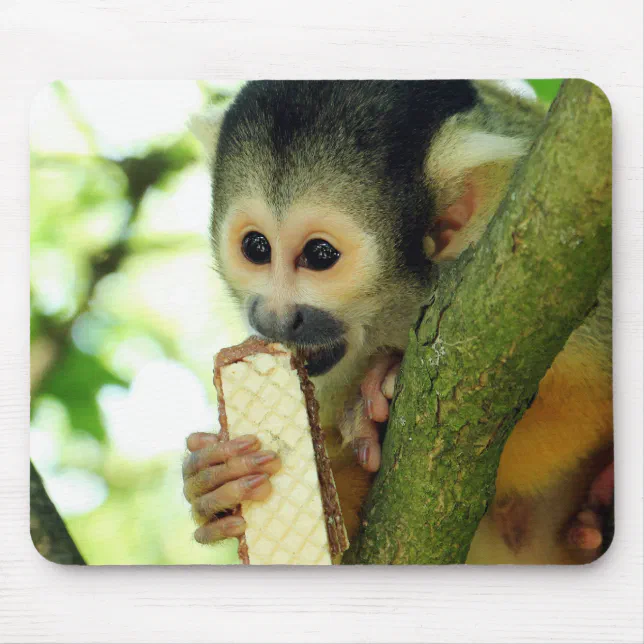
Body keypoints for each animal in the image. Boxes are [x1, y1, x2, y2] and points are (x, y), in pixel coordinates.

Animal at [182, 80, 613, 564]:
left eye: (319, 255)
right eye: (257, 248)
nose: (273, 318)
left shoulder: (549, 270)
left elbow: (582, 402)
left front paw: (379, 397)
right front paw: (217, 483)